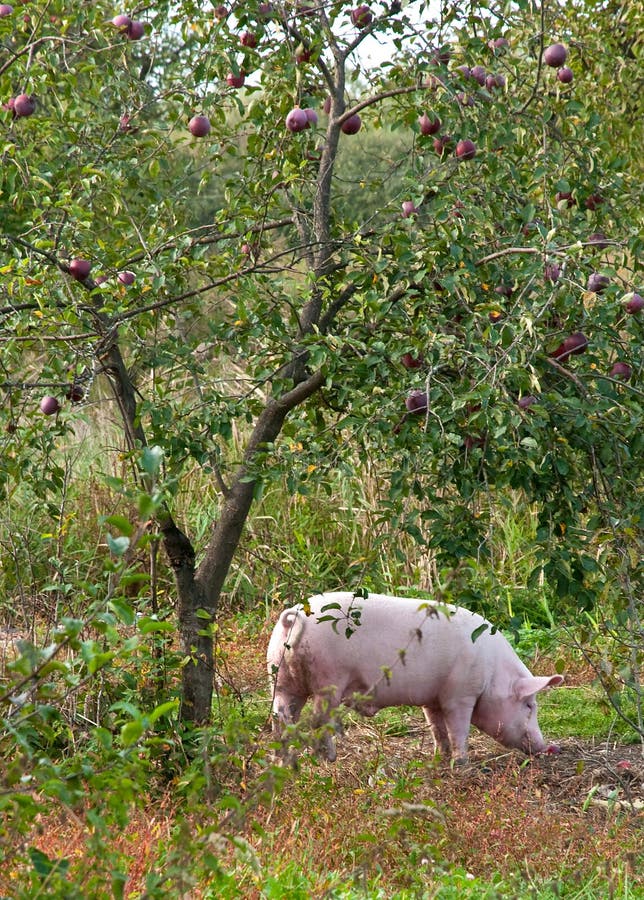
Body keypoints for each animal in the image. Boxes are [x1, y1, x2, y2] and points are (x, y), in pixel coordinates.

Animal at [267, 592, 563, 764]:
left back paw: (283, 760)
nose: (549, 747)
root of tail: (294, 619)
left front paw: (441, 757)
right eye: (529, 705)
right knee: (319, 718)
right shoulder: (460, 694)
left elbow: (436, 727)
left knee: (281, 716)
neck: (492, 673)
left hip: (281, 678)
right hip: (328, 679)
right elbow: (458, 728)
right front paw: (462, 764)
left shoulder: (432, 697)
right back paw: (328, 758)